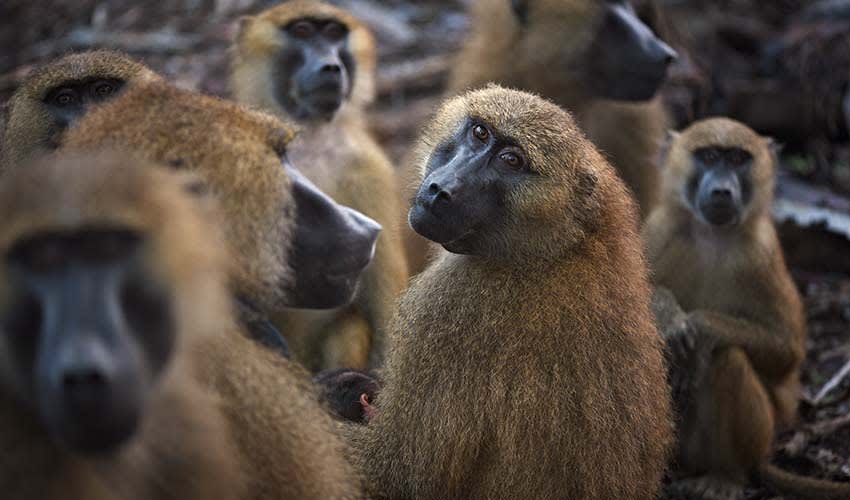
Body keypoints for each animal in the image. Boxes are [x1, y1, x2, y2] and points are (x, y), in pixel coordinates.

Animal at [346, 86, 672, 499]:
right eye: (480, 133)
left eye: (511, 161)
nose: (441, 190)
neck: (556, 247)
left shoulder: (449, 310)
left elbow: (395, 477)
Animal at [643, 117, 850, 499]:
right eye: (709, 156)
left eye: (739, 159)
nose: (722, 191)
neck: (712, 235)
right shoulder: (661, 232)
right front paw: (670, 315)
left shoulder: (761, 255)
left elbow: (786, 354)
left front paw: (700, 327)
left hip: (758, 436)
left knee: (728, 359)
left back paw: (725, 477)